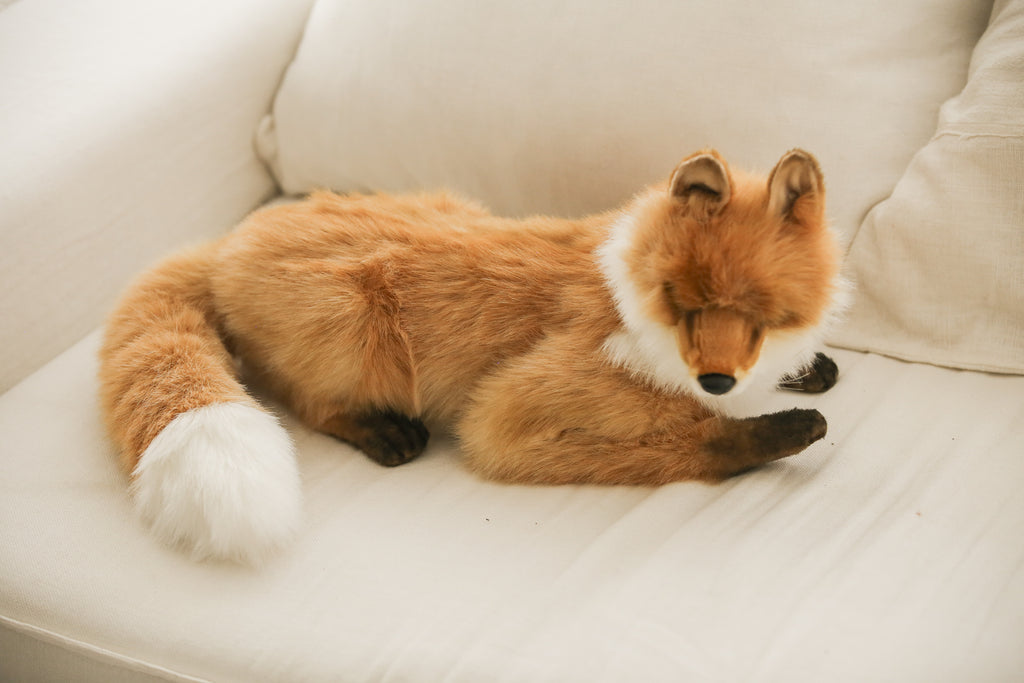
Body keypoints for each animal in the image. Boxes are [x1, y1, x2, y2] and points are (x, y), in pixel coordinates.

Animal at [99, 149, 847, 563]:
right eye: (682, 303)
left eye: (756, 314)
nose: (716, 378)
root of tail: (232, 235)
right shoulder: (506, 417)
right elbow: (692, 444)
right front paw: (773, 432)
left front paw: (806, 368)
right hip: (355, 332)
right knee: (305, 400)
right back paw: (383, 431)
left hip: (457, 207)